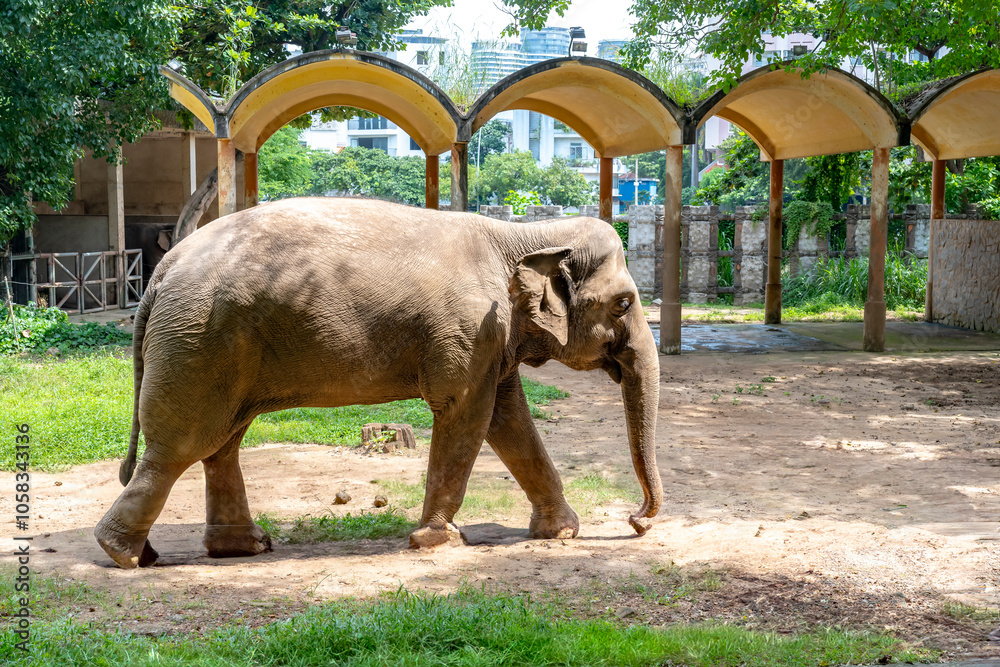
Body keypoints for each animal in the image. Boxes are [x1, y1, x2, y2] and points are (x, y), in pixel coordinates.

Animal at [94, 197, 662, 568]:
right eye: (624, 304)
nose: (637, 521)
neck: (524, 235)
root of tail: (161, 270)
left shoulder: (492, 338)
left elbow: (508, 419)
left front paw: (560, 532)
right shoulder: (471, 332)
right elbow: (465, 413)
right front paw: (437, 541)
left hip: (212, 349)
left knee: (221, 443)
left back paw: (237, 548)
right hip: (200, 343)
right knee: (181, 447)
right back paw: (124, 555)